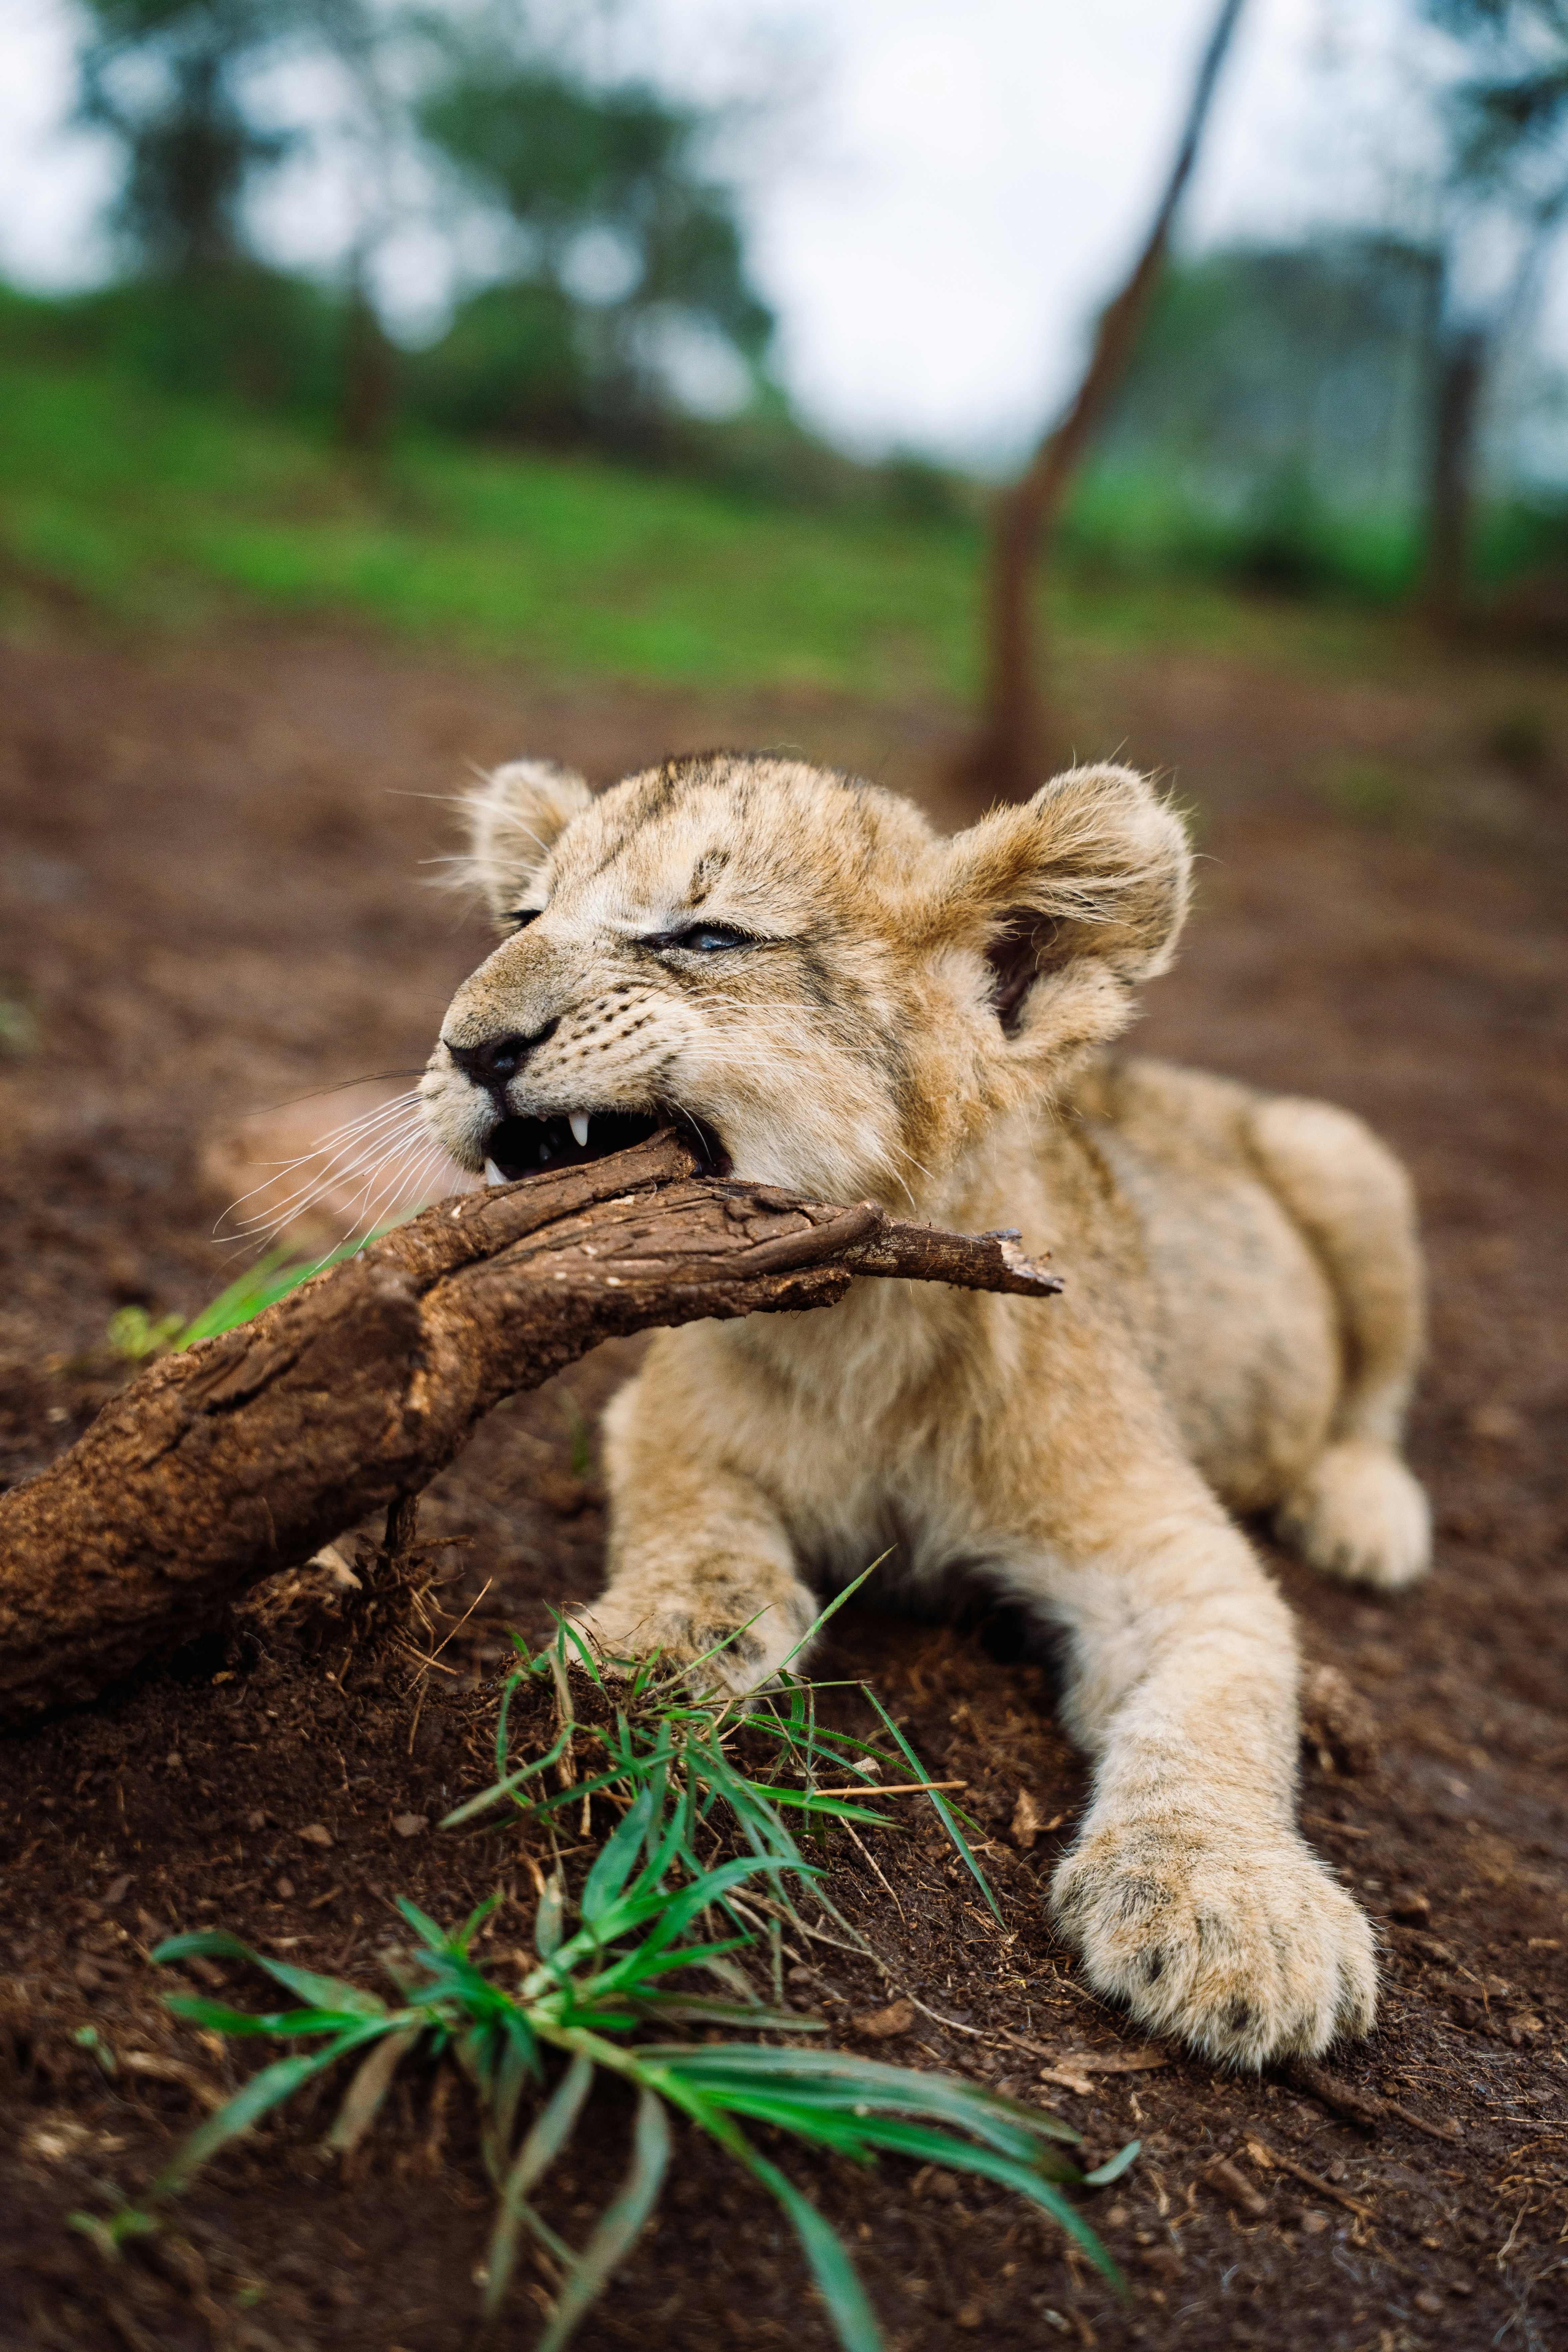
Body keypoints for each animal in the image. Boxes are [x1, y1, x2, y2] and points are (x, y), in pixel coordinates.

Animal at [419, 751, 1430, 2069]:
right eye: (521, 919)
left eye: (707, 934)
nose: (468, 1046)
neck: (858, 1325)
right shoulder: (660, 1418)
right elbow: (699, 1534)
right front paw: (641, 1654)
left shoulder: (1168, 1542)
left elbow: (1221, 1701)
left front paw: (1233, 1911)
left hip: (1340, 1153)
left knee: (1375, 1397)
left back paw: (1366, 1513)